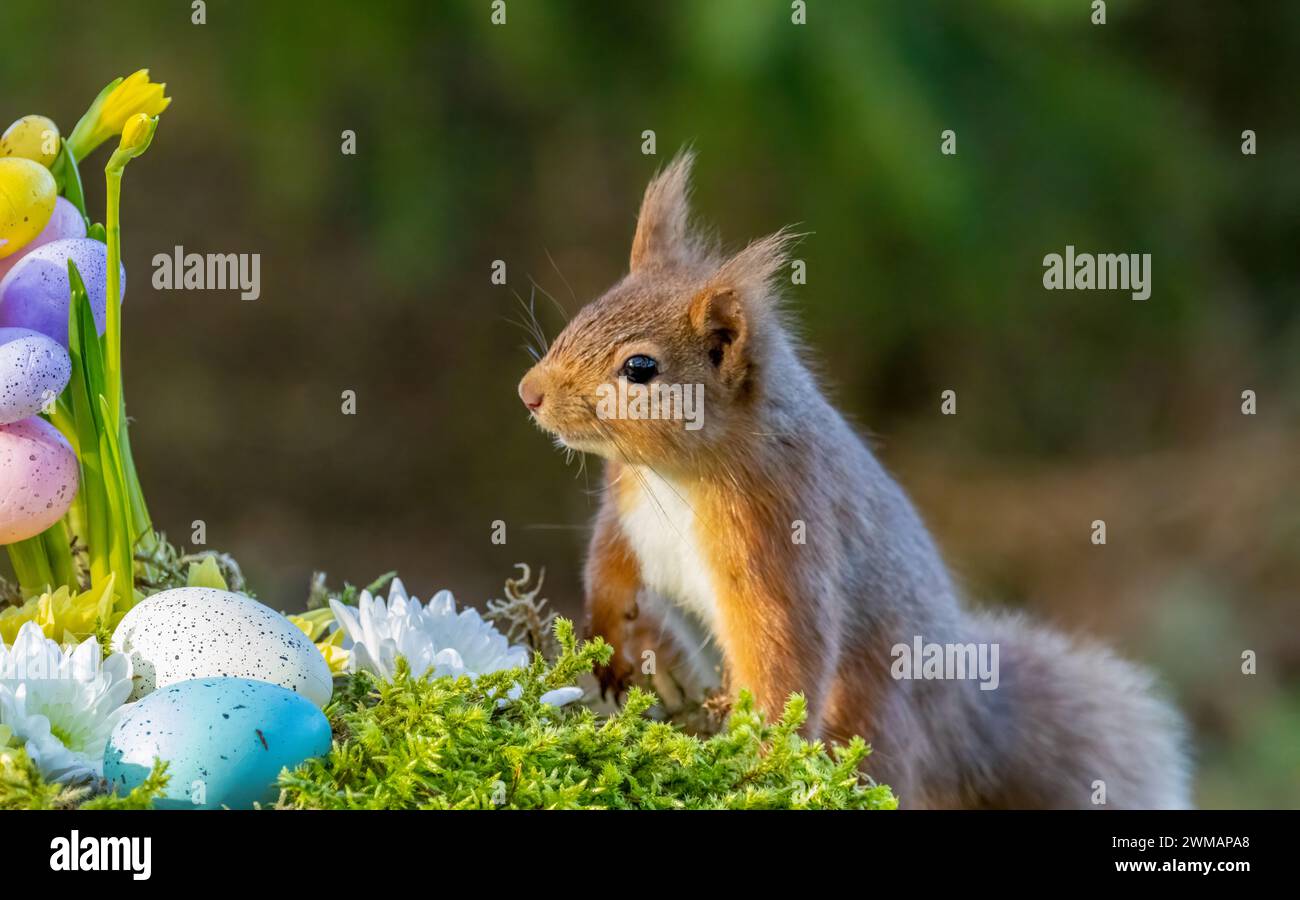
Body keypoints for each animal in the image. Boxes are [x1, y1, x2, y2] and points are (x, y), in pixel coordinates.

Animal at [517, 151, 1190, 809]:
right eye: (585, 311)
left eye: (640, 368)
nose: (529, 393)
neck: (677, 475)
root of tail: (959, 717)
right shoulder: (626, 506)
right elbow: (608, 565)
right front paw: (608, 638)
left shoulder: (786, 536)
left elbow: (785, 658)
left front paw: (757, 765)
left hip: (874, 709)